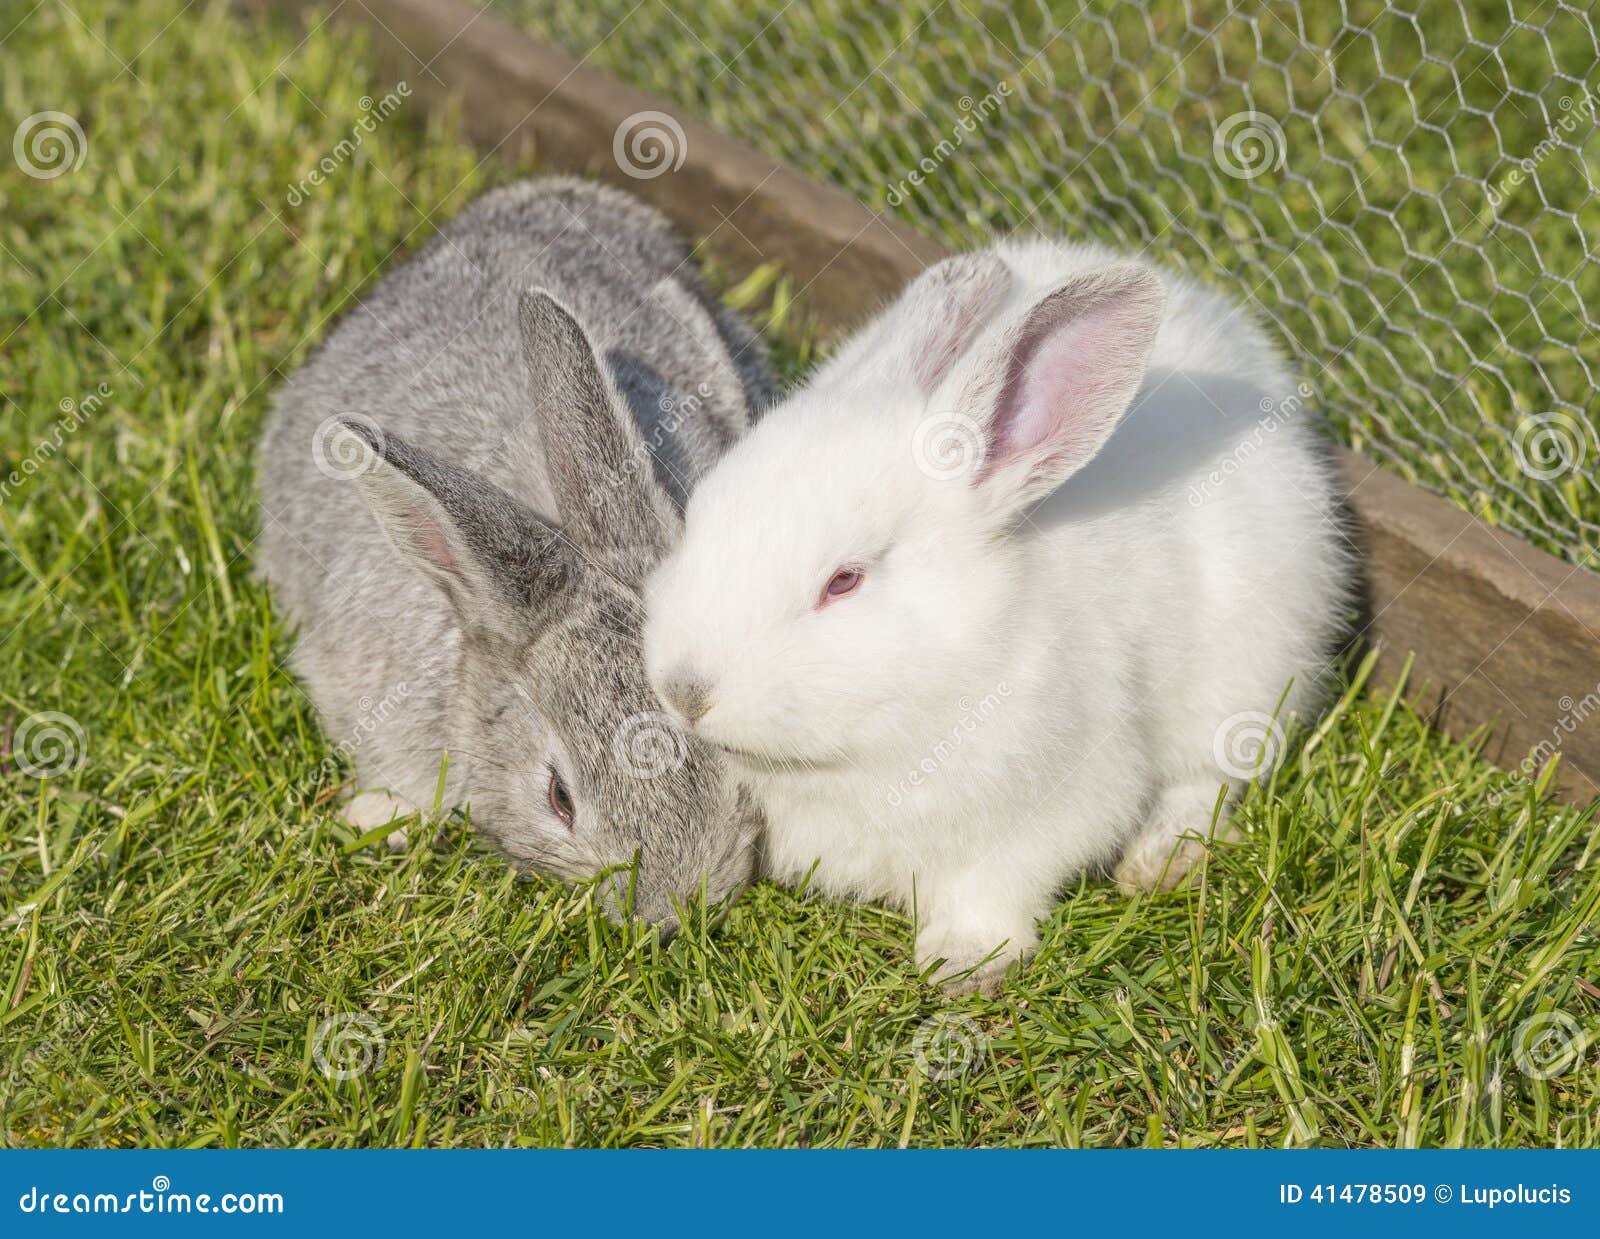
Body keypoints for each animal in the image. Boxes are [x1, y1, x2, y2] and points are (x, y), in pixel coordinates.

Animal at [643, 238, 1353, 990]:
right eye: (699, 518)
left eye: (844, 581)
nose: (684, 691)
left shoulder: (1049, 813)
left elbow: (991, 888)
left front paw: (961, 962)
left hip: (1243, 678)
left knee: (1206, 780)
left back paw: (1161, 861)